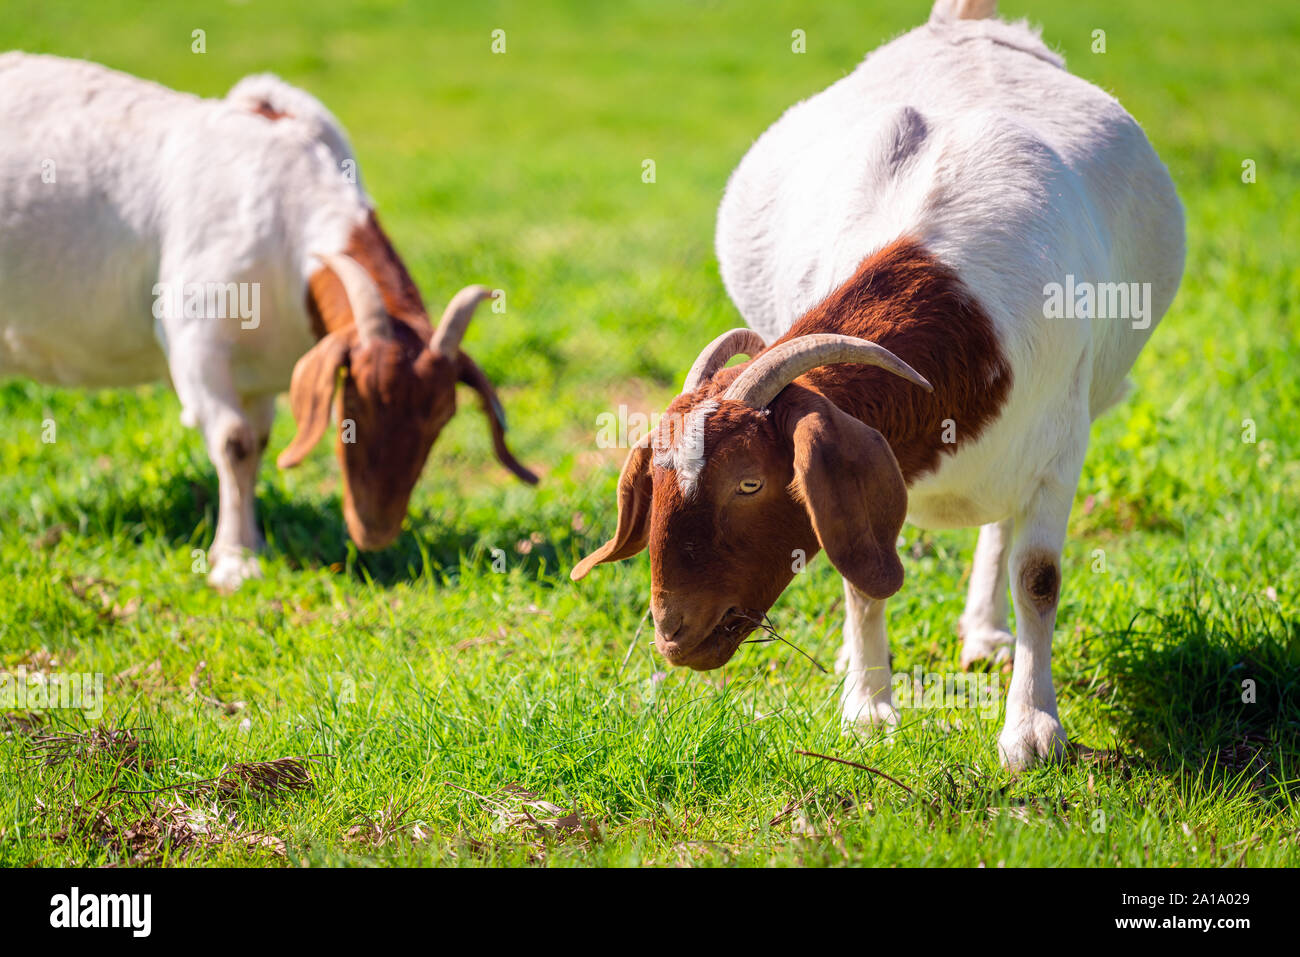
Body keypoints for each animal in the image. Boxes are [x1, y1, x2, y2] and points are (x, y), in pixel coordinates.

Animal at [0, 53, 536, 590]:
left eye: (442, 418)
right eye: (351, 411)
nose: (375, 531)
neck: (286, 223)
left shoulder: (262, 370)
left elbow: (256, 443)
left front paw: (252, 543)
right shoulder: (197, 343)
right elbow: (234, 441)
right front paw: (234, 561)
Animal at [571, 0, 1185, 769]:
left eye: (750, 482)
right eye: (651, 483)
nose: (675, 635)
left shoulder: (1061, 444)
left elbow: (1037, 575)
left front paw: (1033, 728)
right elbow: (859, 578)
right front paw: (868, 708)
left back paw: (986, 635)